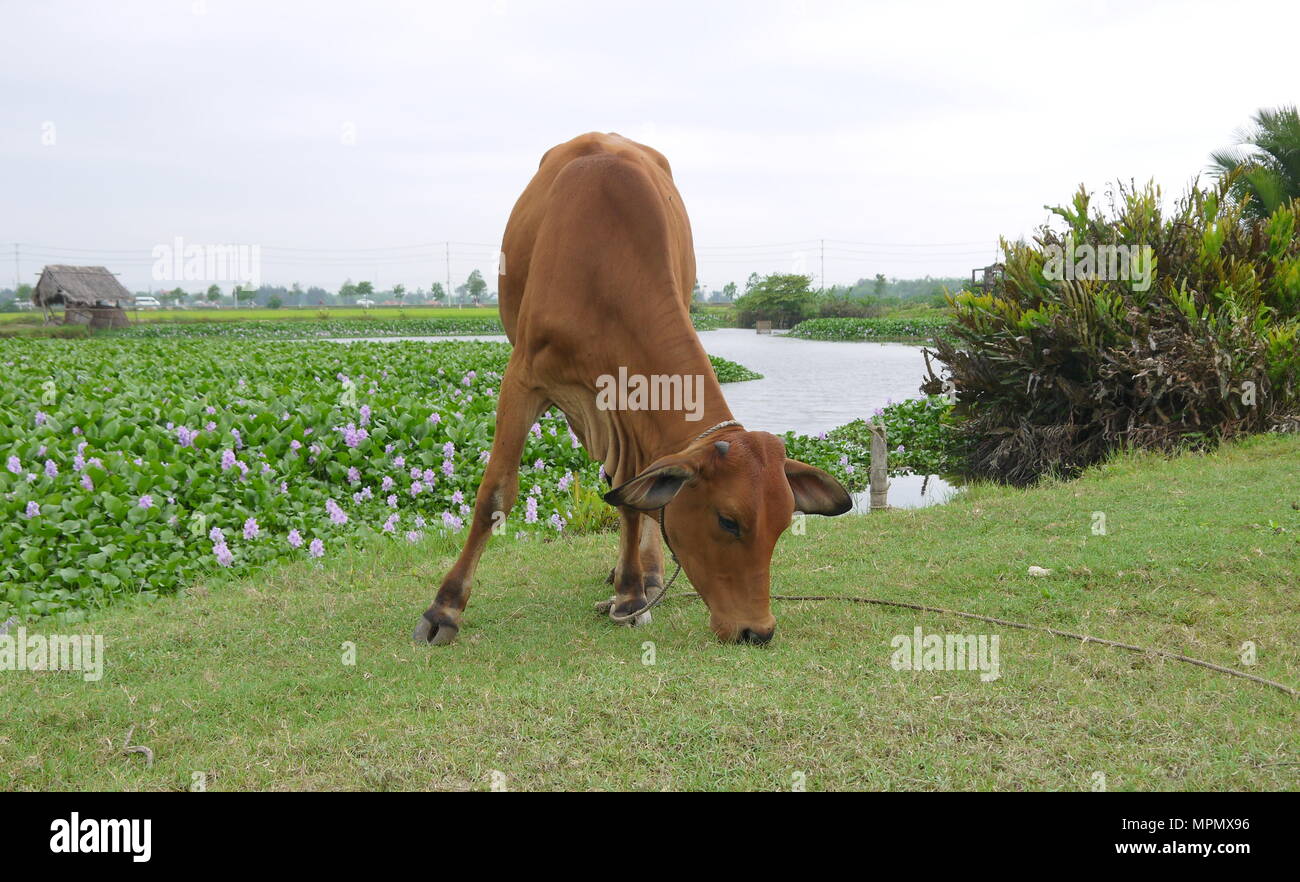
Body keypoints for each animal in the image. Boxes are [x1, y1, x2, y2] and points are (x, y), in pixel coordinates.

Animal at [414, 132, 851, 646]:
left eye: (783, 525)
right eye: (727, 520)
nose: (757, 631)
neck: (604, 271)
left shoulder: (628, 404)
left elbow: (629, 496)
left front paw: (630, 594)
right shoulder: (524, 379)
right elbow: (495, 495)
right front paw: (444, 609)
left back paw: (650, 575)